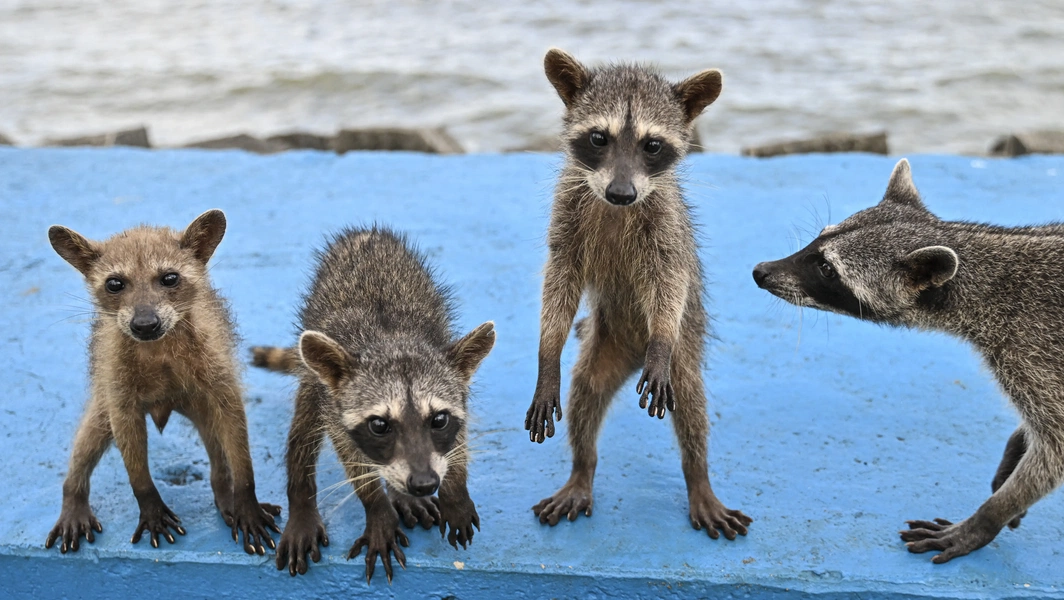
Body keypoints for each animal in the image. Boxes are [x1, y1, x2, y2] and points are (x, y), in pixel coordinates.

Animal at [44, 210, 280, 555]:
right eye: (115, 283)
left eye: (170, 278)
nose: (145, 324)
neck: (157, 347)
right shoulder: (117, 382)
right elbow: (128, 442)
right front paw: (148, 500)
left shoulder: (217, 366)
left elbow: (234, 424)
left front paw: (245, 495)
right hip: (104, 396)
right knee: (90, 436)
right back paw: (73, 494)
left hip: (198, 401)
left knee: (217, 440)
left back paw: (225, 489)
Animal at [253, 227, 495, 582]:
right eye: (379, 425)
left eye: (438, 420)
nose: (424, 484)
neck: (390, 340)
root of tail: (366, 233)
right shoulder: (336, 407)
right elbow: (353, 459)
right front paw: (377, 506)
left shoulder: (458, 390)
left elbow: (457, 441)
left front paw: (455, 490)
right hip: (314, 372)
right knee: (304, 424)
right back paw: (302, 498)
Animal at [523, 48, 751, 539]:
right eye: (599, 138)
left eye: (652, 145)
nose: (622, 193)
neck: (613, 205)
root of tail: (630, 356)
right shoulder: (567, 214)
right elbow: (559, 282)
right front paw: (547, 352)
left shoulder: (664, 222)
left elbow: (670, 279)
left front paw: (661, 333)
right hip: (602, 348)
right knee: (584, 394)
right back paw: (582, 468)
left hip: (683, 353)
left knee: (691, 403)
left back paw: (698, 477)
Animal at [754, 159, 1064, 563]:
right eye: (819, 238)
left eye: (826, 268)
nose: (760, 271)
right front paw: (1018, 442)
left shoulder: (1033, 347)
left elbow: (1056, 444)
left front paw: (987, 517)